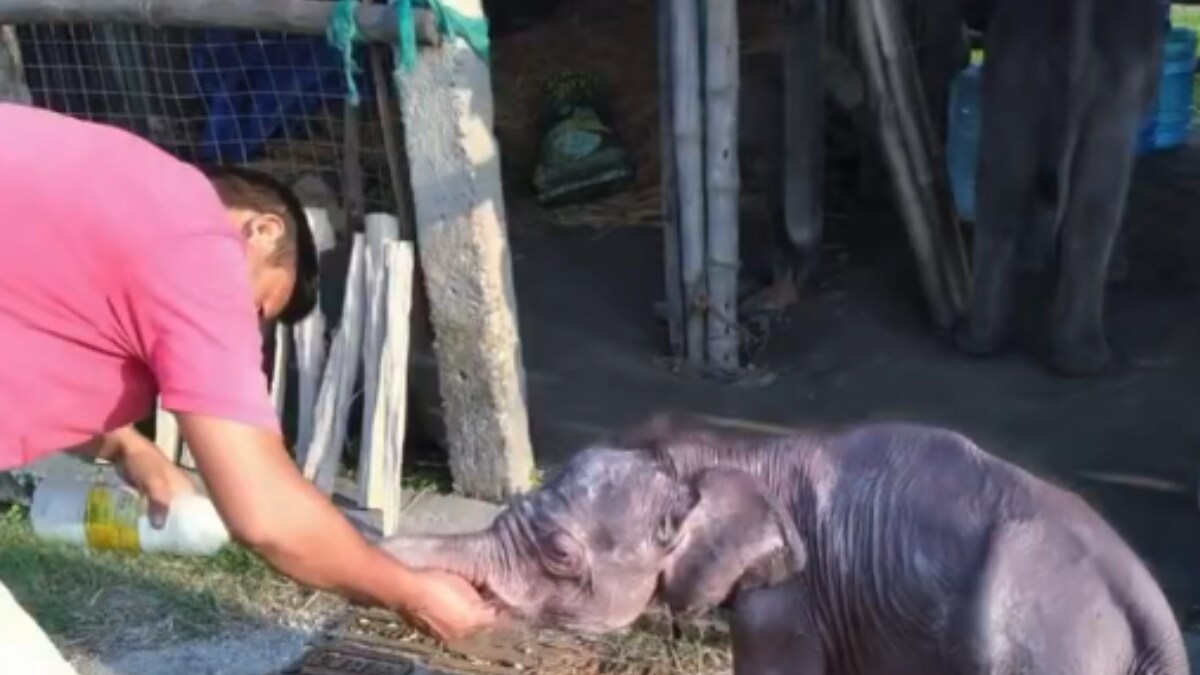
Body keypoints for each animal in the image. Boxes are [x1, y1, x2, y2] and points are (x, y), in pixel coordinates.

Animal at [954, 0, 1168, 375]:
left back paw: (979, 339)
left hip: (1013, 71)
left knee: (999, 193)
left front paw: (1034, 260)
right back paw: (1084, 358)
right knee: (1094, 211)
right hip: (1111, 91)